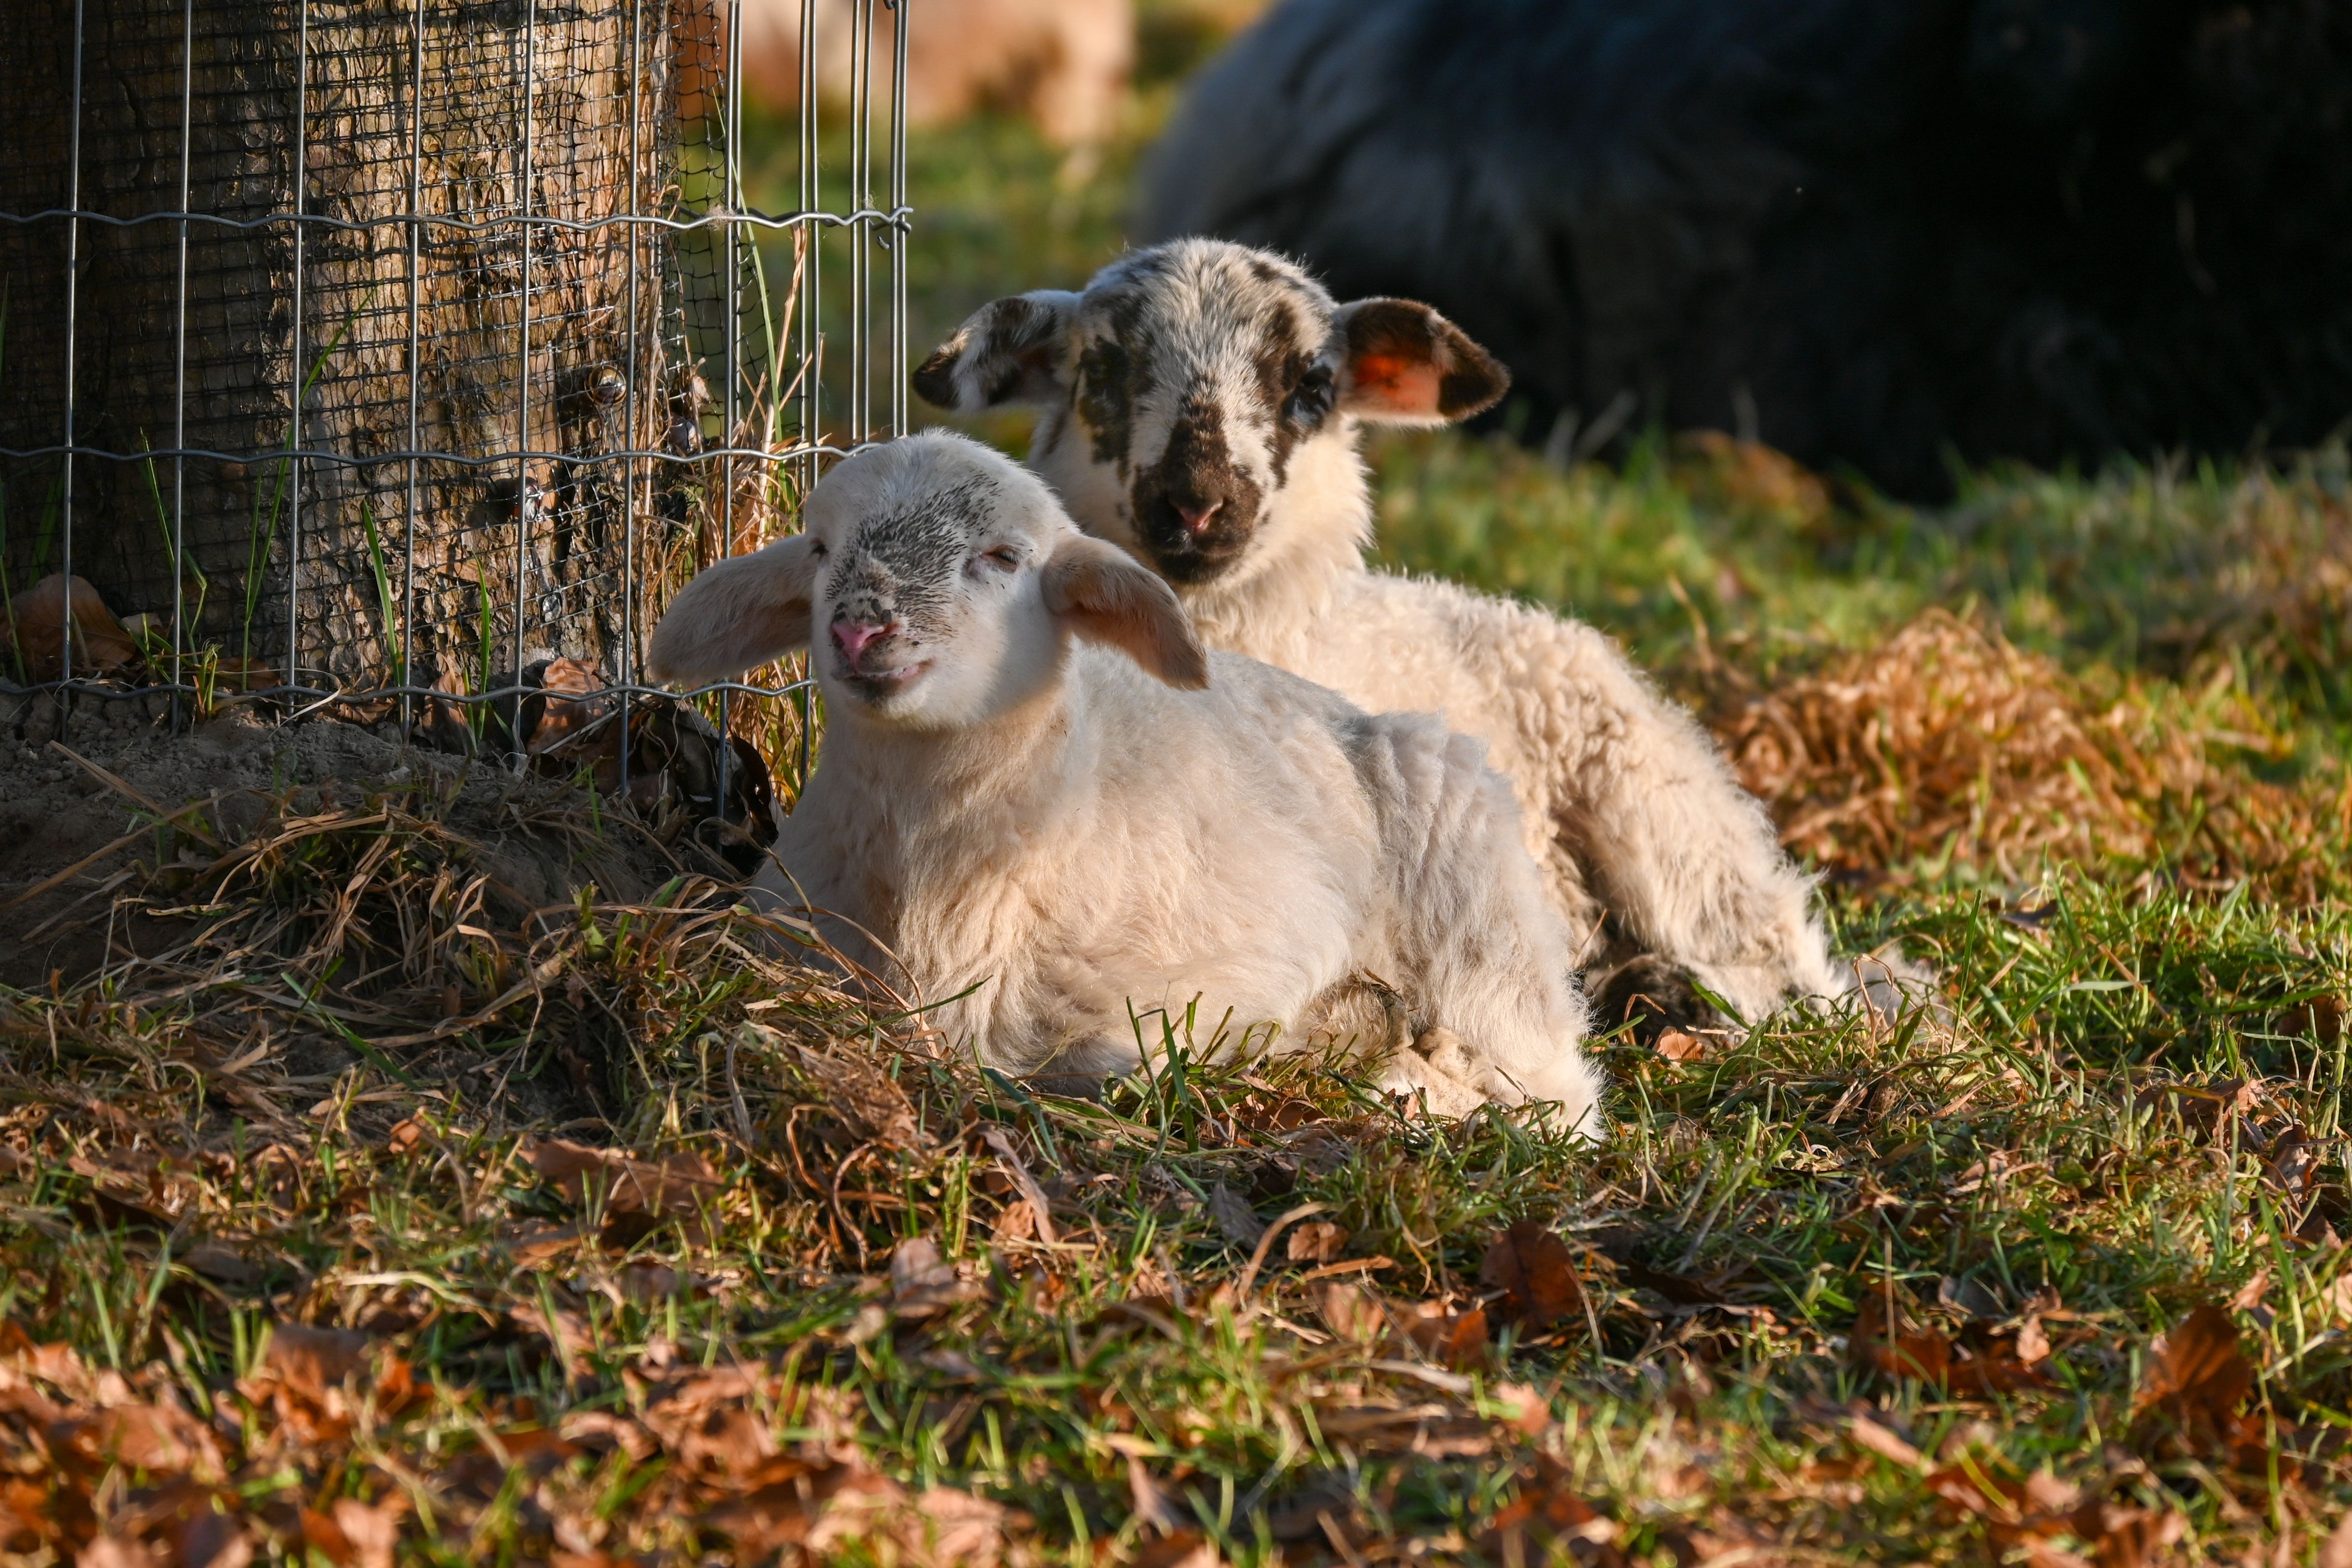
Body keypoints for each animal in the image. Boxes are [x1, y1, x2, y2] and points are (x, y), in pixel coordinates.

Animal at [646, 430, 1602, 1127]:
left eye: (1004, 557)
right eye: (819, 548)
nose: (859, 631)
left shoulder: (1179, 1004)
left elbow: (1116, 1070)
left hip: (1483, 934)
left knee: (1552, 1095)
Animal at [912, 239, 1866, 1032]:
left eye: (1310, 386)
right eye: (1103, 371)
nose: (1197, 502)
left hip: (1664, 817)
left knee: (1785, 969)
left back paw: (1682, 996)